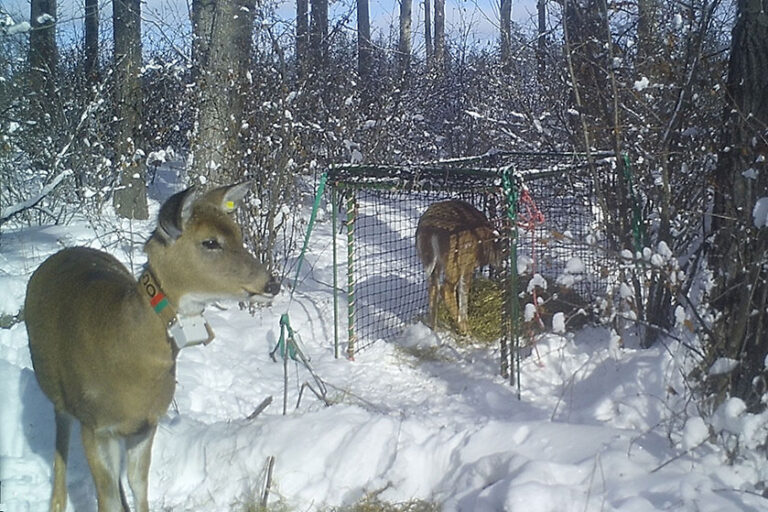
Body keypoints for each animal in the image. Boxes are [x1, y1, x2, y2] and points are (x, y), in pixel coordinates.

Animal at [25, 183, 281, 512]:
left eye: (238, 232)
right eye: (210, 242)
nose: (272, 284)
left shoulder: (146, 424)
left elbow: (138, 485)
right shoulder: (94, 425)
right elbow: (107, 498)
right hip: (60, 394)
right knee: (60, 438)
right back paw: (56, 502)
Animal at [415, 199, 502, 335]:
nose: (500, 264)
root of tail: (431, 227)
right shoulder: (468, 262)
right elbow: (463, 290)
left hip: (432, 259)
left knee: (433, 286)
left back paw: (433, 328)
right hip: (456, 259)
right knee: (446, 288)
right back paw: (464, 328)